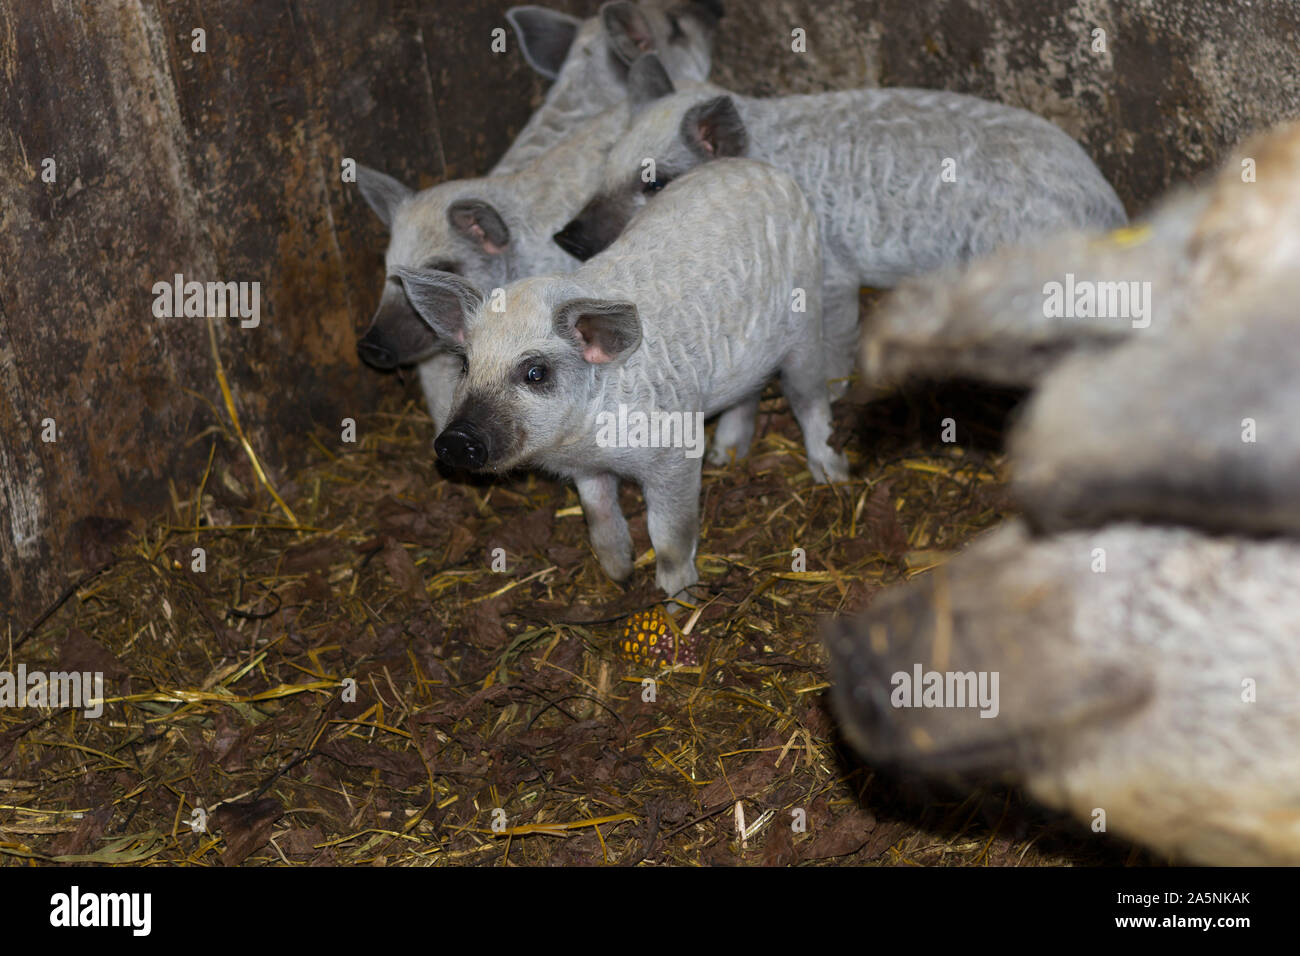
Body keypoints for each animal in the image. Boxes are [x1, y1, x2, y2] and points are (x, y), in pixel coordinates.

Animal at [398, 159, 847, 602]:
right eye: (464, 365)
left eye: (535, 372)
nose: (455, 439)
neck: (584, 441)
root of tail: (769, 171)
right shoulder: (585, 469)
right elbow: (597, 515)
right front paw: (620, 574)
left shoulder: (674, 451)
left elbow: (670, 534)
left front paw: (678, 597)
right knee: (747, 396)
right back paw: (725, 457)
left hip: (806, 327)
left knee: (810, 399)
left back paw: (831, 475)